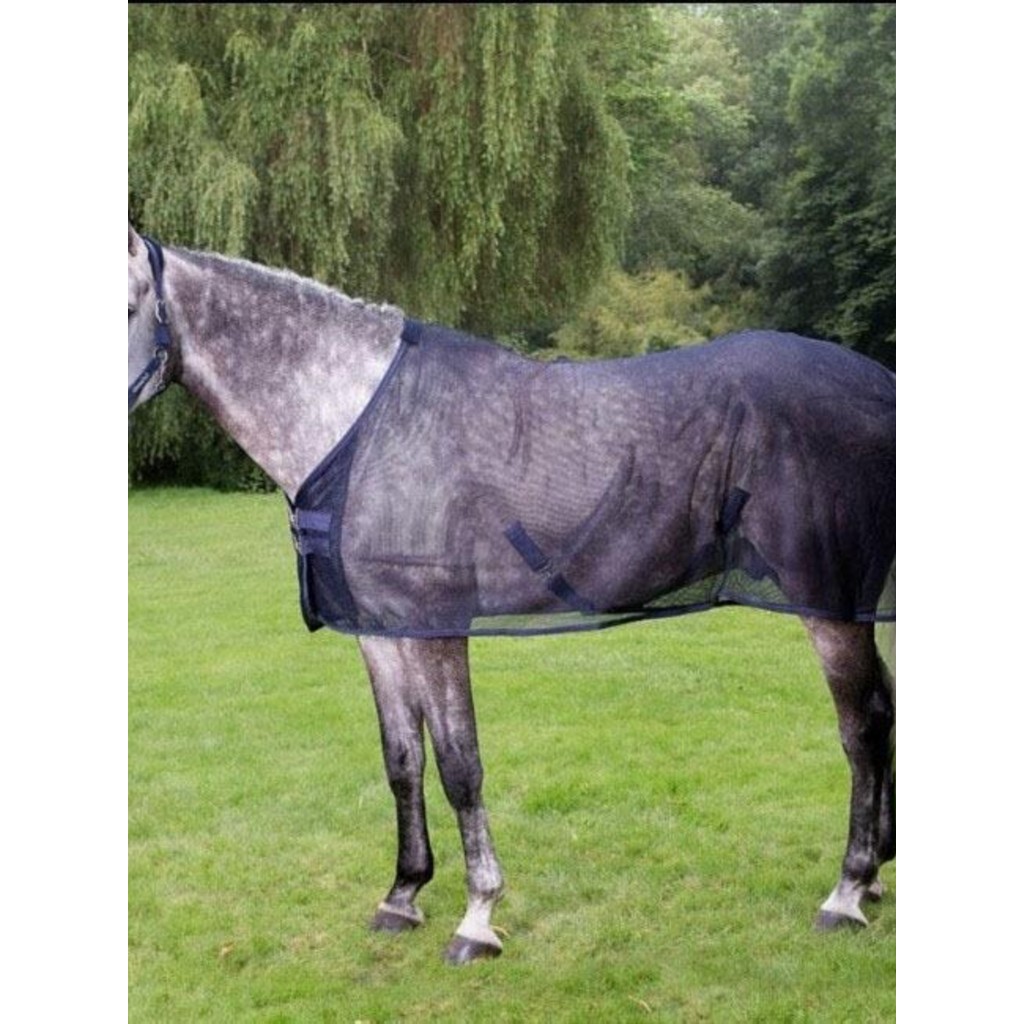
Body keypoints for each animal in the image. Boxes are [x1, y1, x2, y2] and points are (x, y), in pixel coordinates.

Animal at [128, 225, 895, 964]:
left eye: (129, 304)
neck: (361, 424)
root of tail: (879, 381)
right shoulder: (380, 631)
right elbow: (402, 761)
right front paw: (402, 895)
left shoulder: (437, 627)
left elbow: (459, 765)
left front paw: (478, 917)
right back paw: (878, 875)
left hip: (830, 604)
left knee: (862, 727)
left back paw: (846, 893)